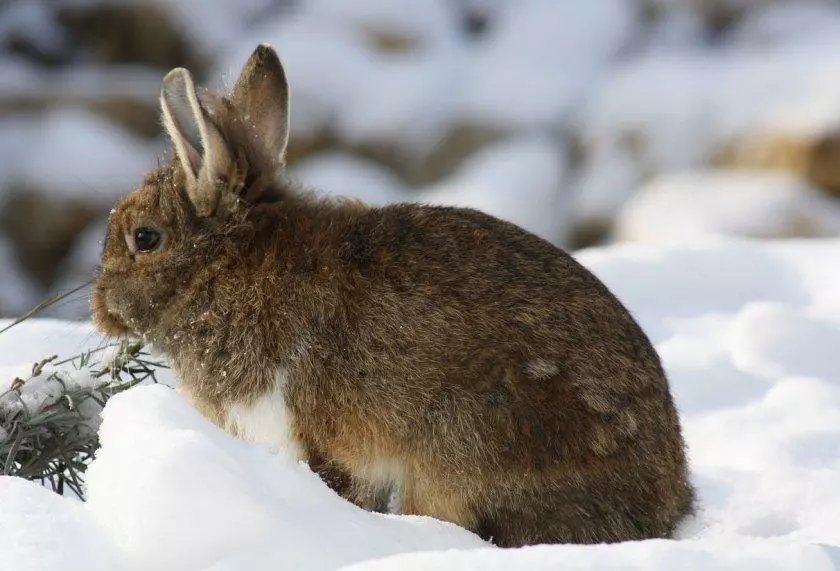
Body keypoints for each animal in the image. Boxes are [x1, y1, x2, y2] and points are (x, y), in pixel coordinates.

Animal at [92, 43, 696, 544]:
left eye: (145, 238)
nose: (99, 309)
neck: (225, 265)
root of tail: (664, 508)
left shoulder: (314, 438)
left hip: (470, 443)